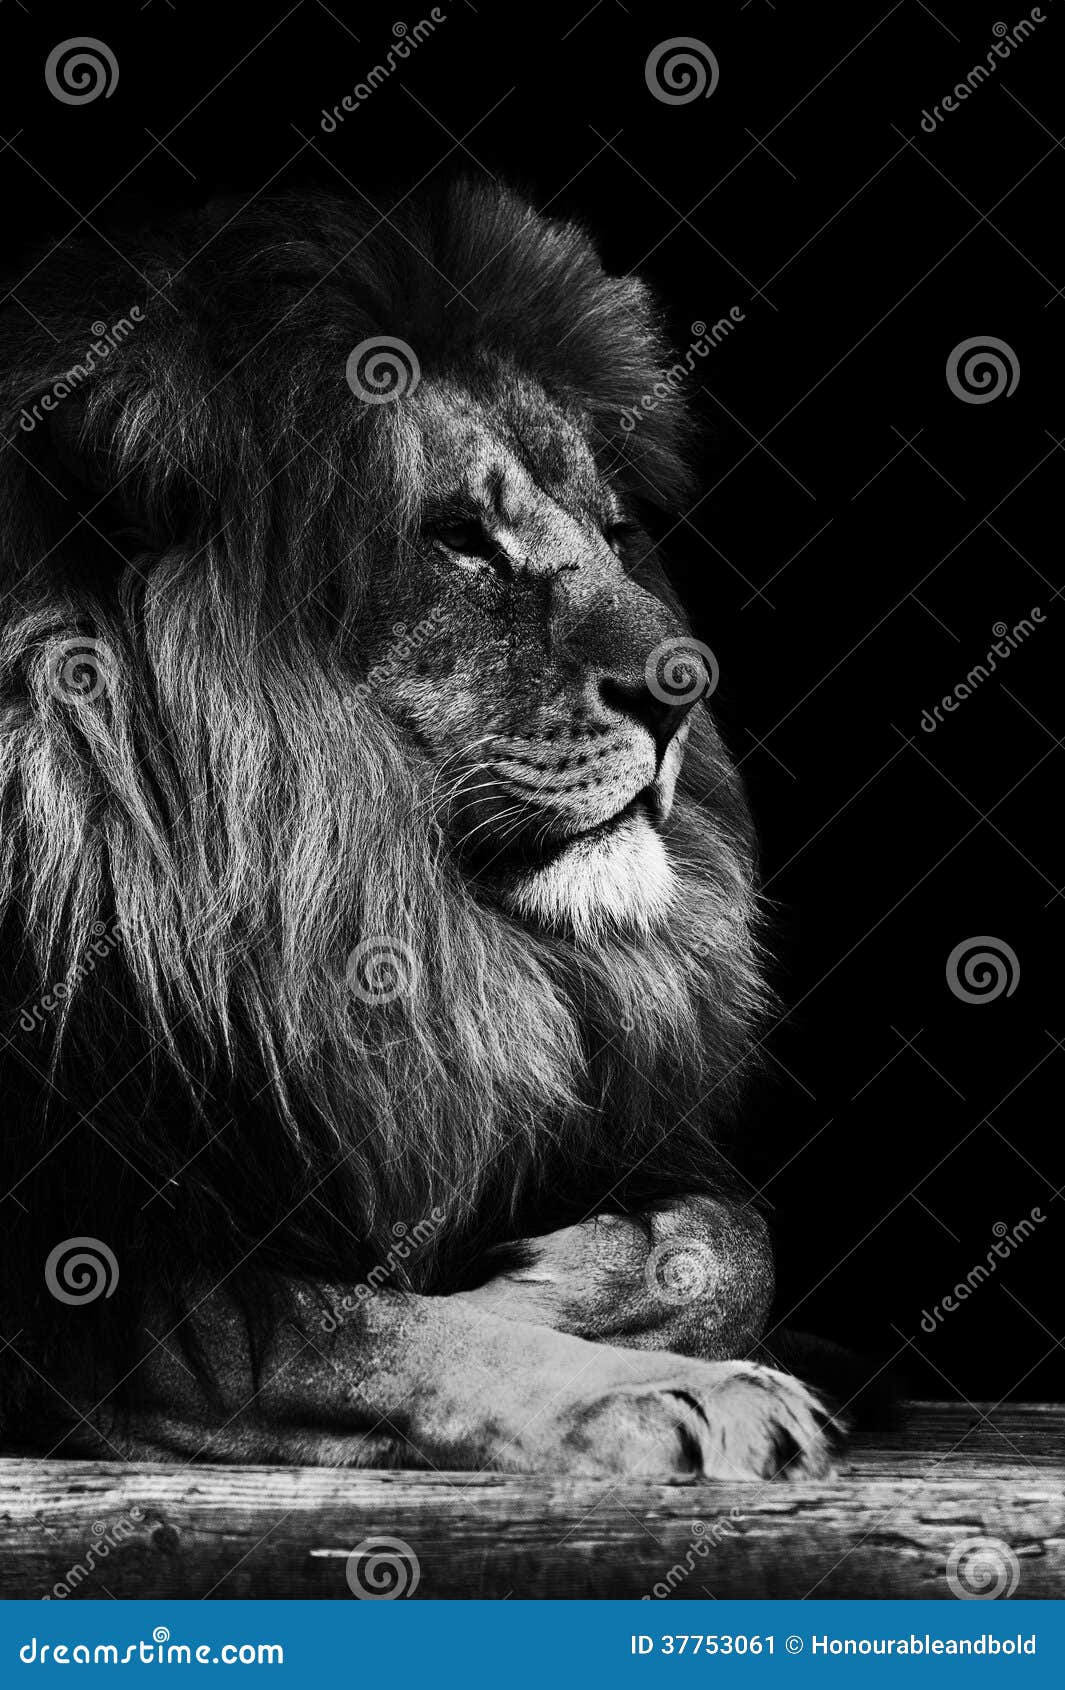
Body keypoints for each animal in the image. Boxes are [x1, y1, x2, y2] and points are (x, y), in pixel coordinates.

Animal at [0, 180, 834, 1479]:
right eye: (458, 535)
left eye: (610, 529)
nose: (687, 686)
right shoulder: (104, 1283)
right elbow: (361, 1328)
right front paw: (684, 1393)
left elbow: (739, 1236)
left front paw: (547, 1271)